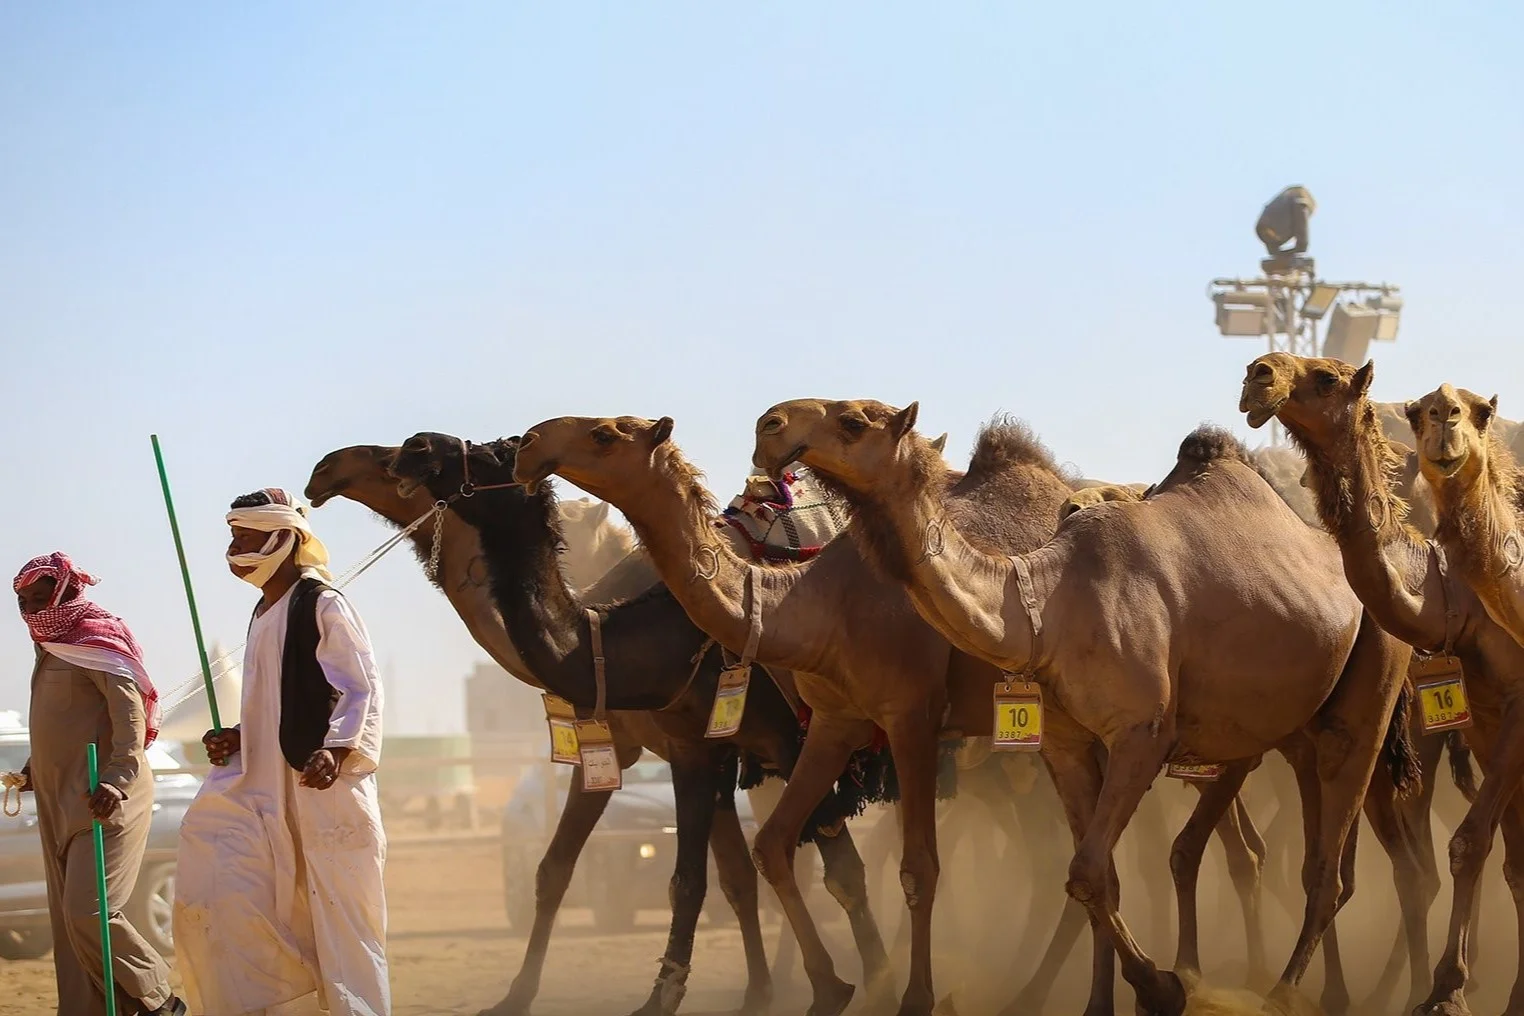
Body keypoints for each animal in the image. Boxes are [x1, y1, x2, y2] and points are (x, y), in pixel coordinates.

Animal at [304, 447, 787, 1016]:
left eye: (403, 457)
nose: (327, 469)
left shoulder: (686, 747)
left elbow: (704, 877)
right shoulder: (645, 748)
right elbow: (560, 870)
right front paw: (514, 996)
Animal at [739, 398, 1417, 1016]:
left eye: (854, 420)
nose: (770, 426)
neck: (1048, 604)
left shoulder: (1141, 732)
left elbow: (1085, 870)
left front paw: (1164, 987)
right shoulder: (1063, 742)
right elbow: (1095, 878)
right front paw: (1118, 997)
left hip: (1371, 686)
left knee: (1326, 866)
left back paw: (1285, 992)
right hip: (1286, 726)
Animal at [1239, 352, 1524, 1015]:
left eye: (1326, 377)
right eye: (1416, 411)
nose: (1257, 374)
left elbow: (1470, 844)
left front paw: (1447, 992)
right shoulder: (1483, 714)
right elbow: (1500, 856)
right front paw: (1448, 987)